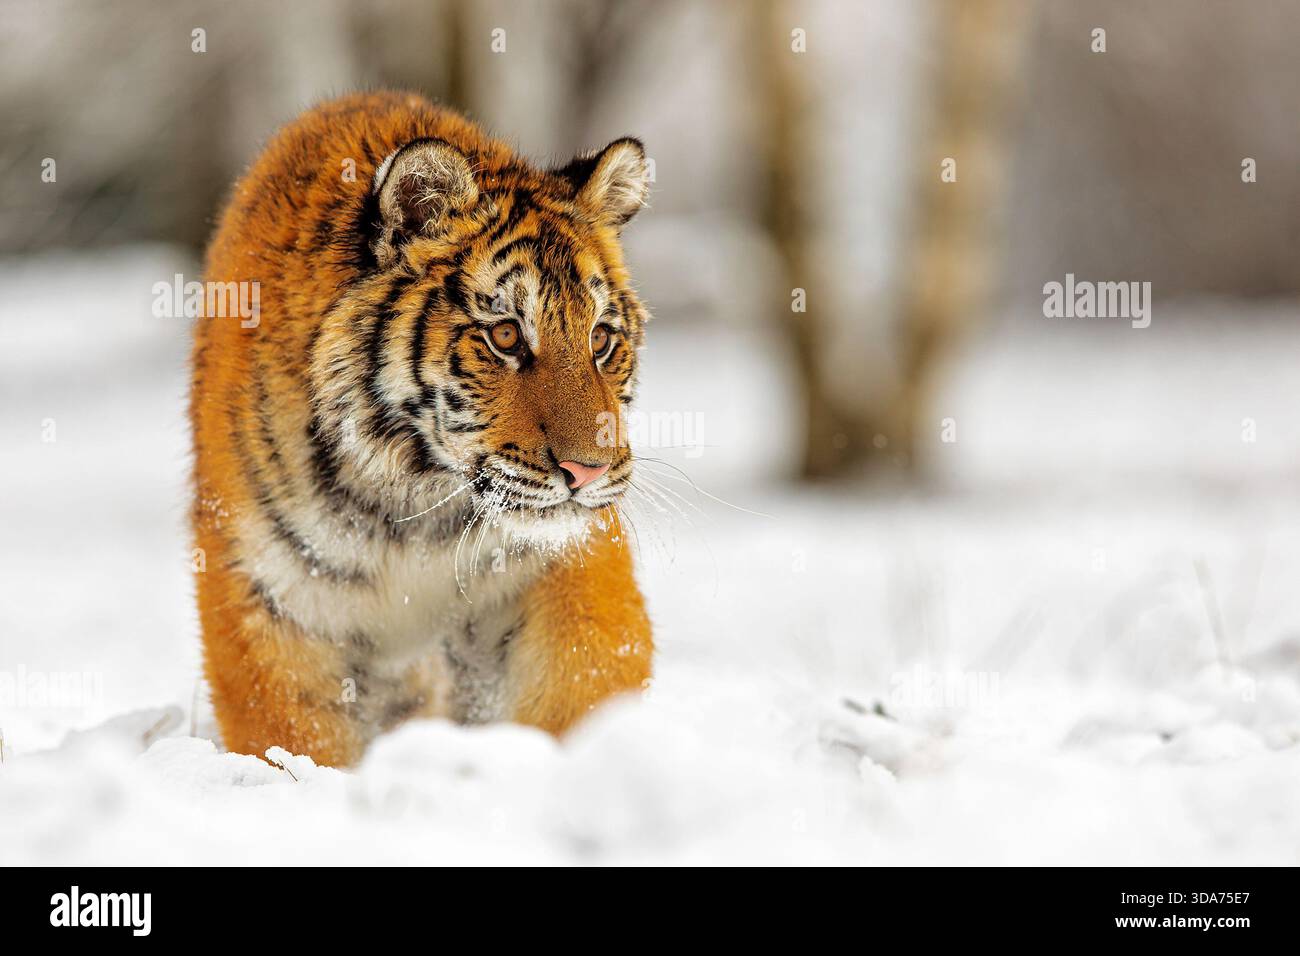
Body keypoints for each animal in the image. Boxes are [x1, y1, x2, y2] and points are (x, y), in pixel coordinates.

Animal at [191, 91, 654, 767]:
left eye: (600, 339)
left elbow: (586, 680)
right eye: (505, 335)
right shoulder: (269, 599)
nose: (588, 471)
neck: (414, 503)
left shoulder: (568, 561)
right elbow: (293, 740)